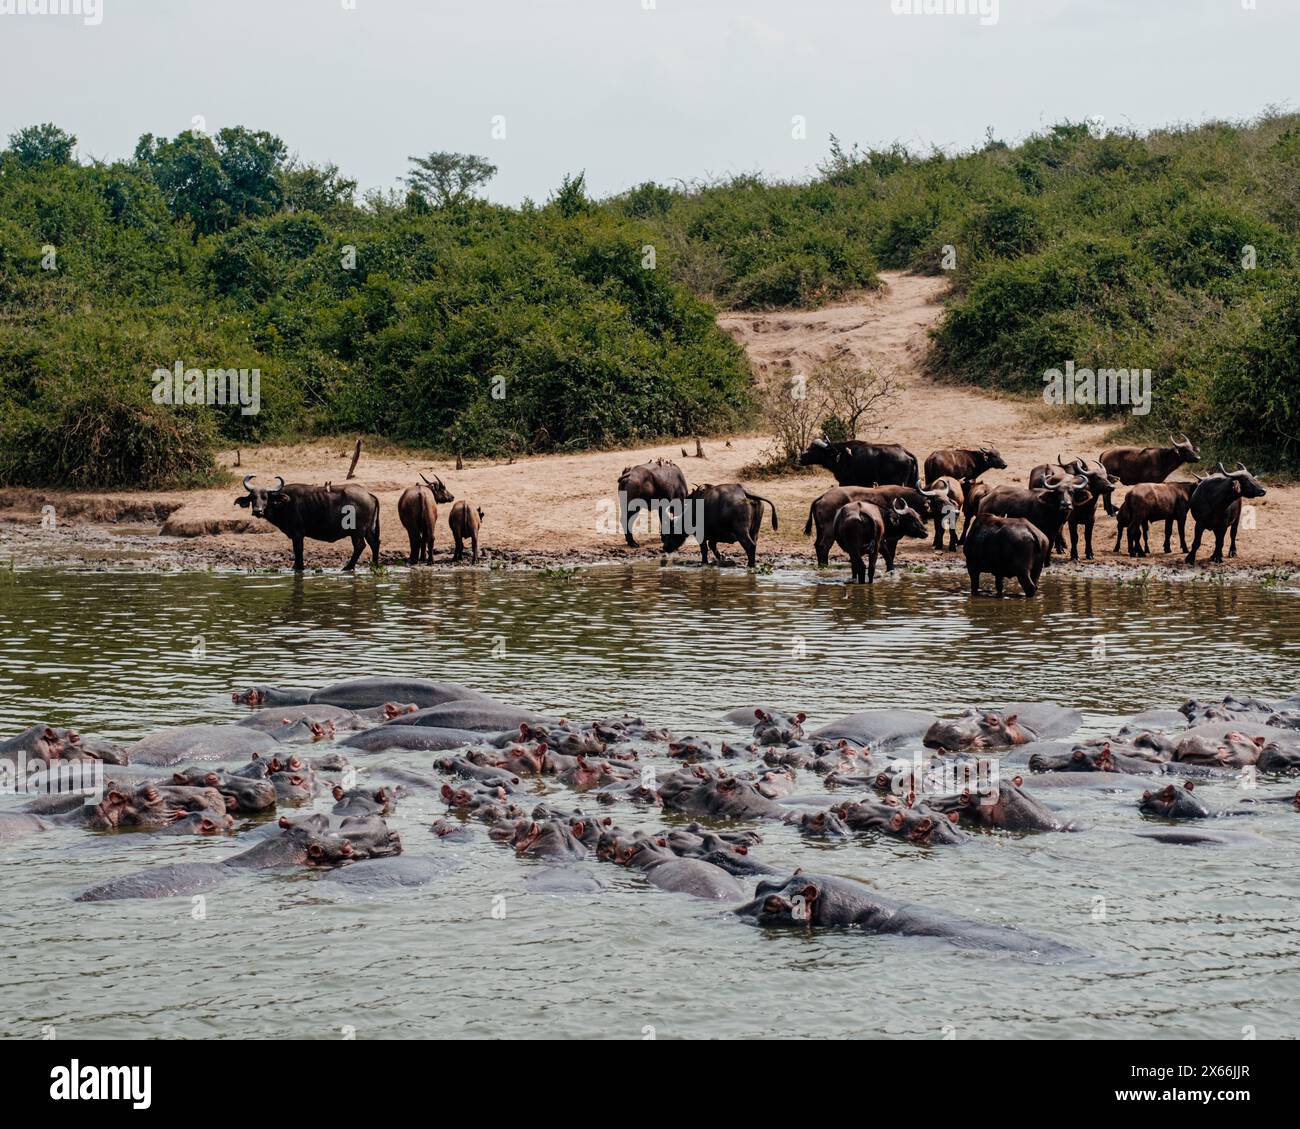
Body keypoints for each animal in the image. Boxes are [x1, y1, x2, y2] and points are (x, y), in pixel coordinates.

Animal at [235, 476, 380, 571]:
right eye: (253, 497)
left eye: (265, 497)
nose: (257, 511)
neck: (284, 504)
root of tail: (369, 495)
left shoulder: (297, 534)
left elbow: (298, 550)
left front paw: (298, 567)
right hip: (368, 530)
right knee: (374, 543)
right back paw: (374, 565)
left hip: (357, 531)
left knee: (360, 546)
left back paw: (347, 567)